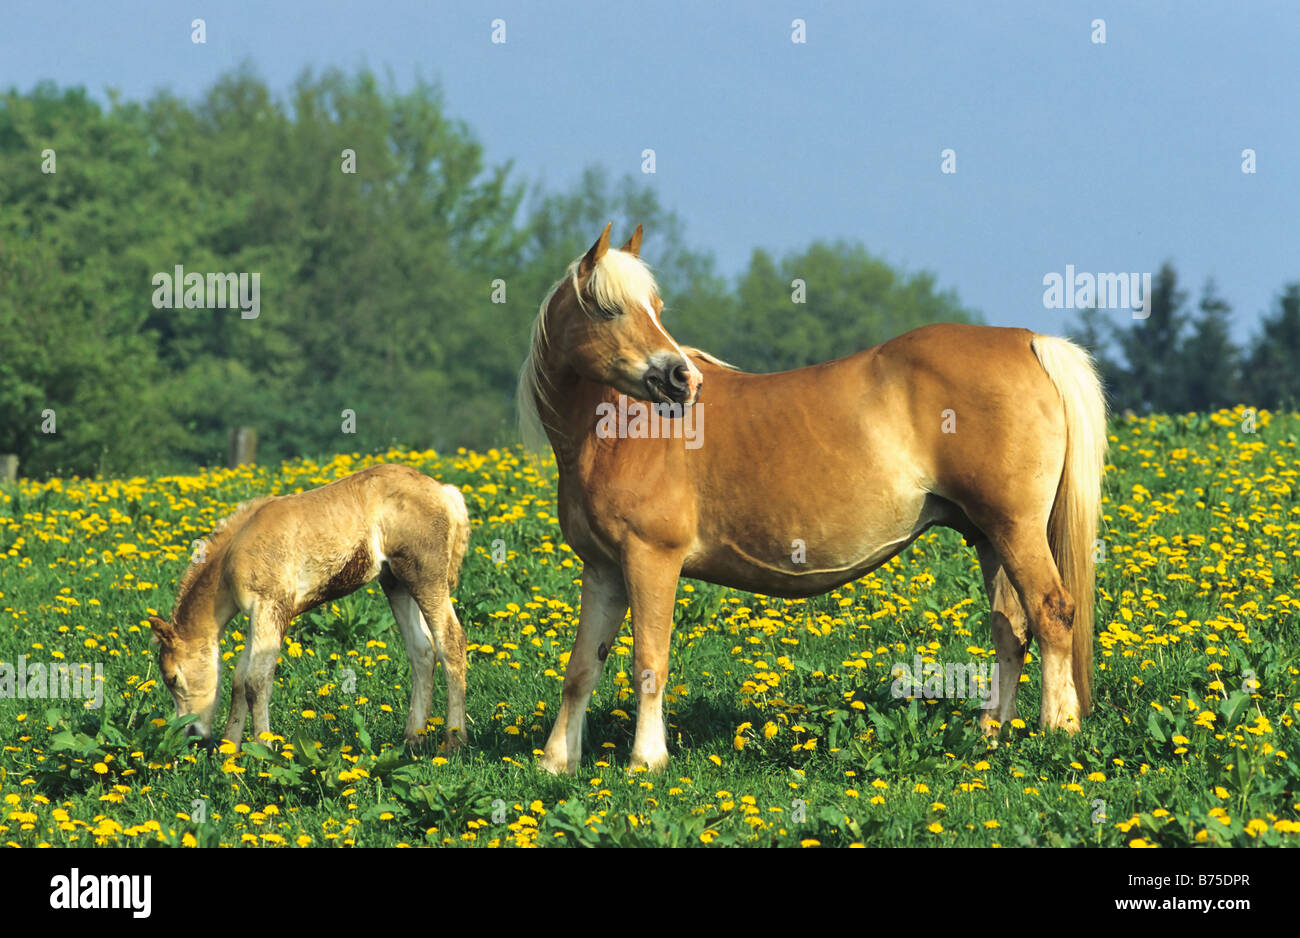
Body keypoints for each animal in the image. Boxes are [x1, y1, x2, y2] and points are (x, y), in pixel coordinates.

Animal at [146, 463, 471, 751]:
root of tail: (444, 491)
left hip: (426, 577)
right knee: (422, 651)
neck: (234, 555)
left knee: (451, 641)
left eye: (172, 678)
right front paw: (230, 752)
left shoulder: (271, 608)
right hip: (396, 583)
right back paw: (413, 738)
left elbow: (256, 680)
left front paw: (264, 750)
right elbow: (240, 678)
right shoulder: (257, 616)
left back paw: (454, 741)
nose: (192, 735)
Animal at [518, 223, 1107, 774]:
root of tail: (1028, 340)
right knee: (1012, 628)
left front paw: (646, 759)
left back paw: (1059, 729)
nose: (683, 379)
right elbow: (582, 667)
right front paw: (557, 761)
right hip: (988, 535)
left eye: (655, 309)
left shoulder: (651, 560)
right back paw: (991, 733)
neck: (614, 433)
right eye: (608, 308)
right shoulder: (603, 569)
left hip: (1016, 528)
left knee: (1052, 612)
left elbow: (649, 660)